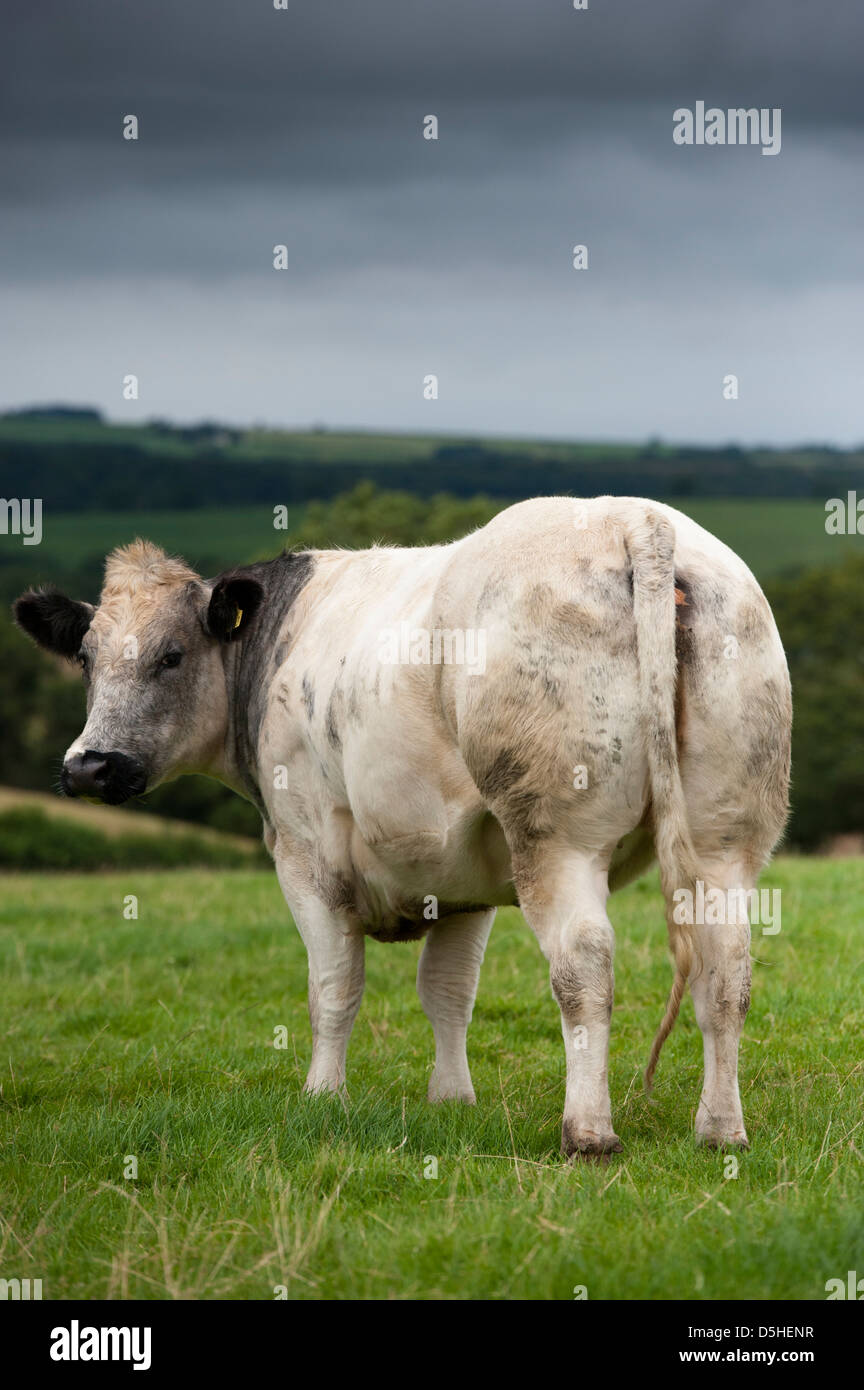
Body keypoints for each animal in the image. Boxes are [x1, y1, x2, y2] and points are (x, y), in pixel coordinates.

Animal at [13, 496, 791, 1157]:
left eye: (170, 656)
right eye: (85, 658)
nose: (89, 767)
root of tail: (633, 518)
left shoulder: (306, 856)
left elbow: (333, 987)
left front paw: (323, 1097)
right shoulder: (465, 877)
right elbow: (447, 991)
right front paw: (452, 1099)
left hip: (557, 840)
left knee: (585, 965)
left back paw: (589, 1131)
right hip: (723, 846)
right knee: (726, 970)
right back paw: (721, 1130)